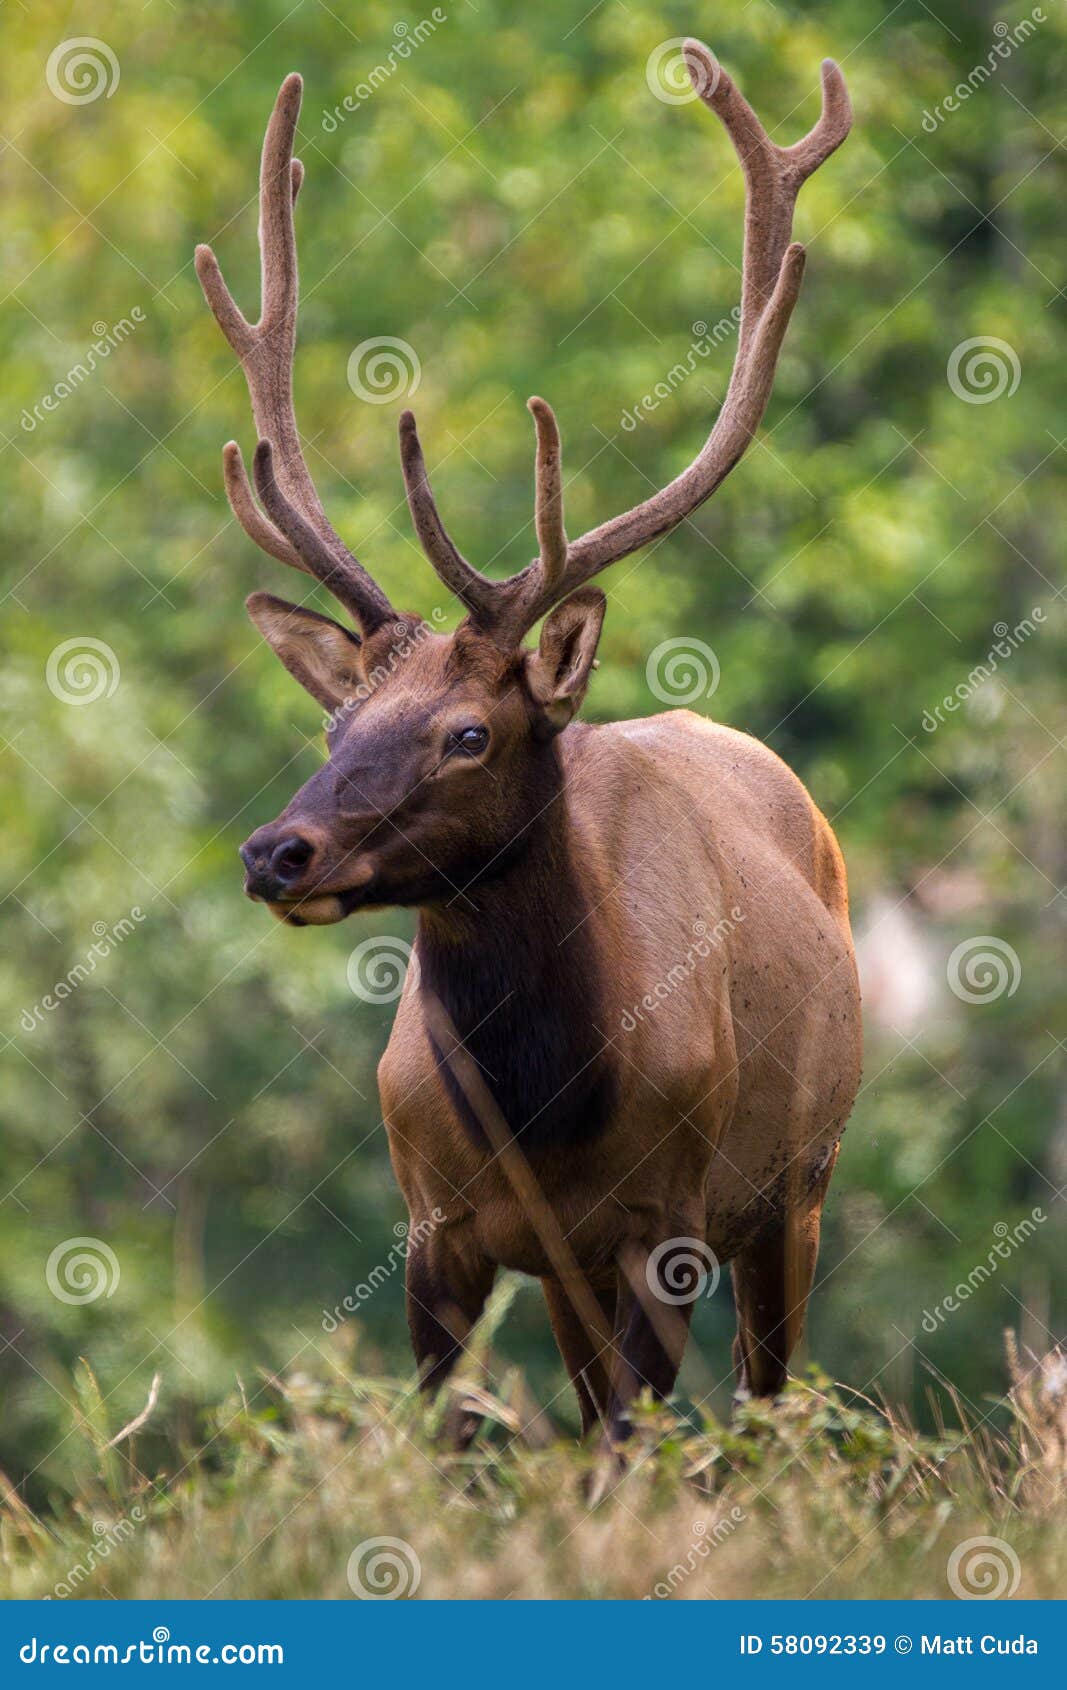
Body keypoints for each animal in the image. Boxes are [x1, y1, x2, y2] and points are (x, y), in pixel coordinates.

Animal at [195, 39, 861, 1453]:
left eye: (466, 732)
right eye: (336, 720)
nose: (277, 852)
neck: (551, 1112)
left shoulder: (665, 1226)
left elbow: (626, 1450)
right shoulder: (439, 1227)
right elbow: (446, 1447)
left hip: (800, 1184)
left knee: (765, 1406)